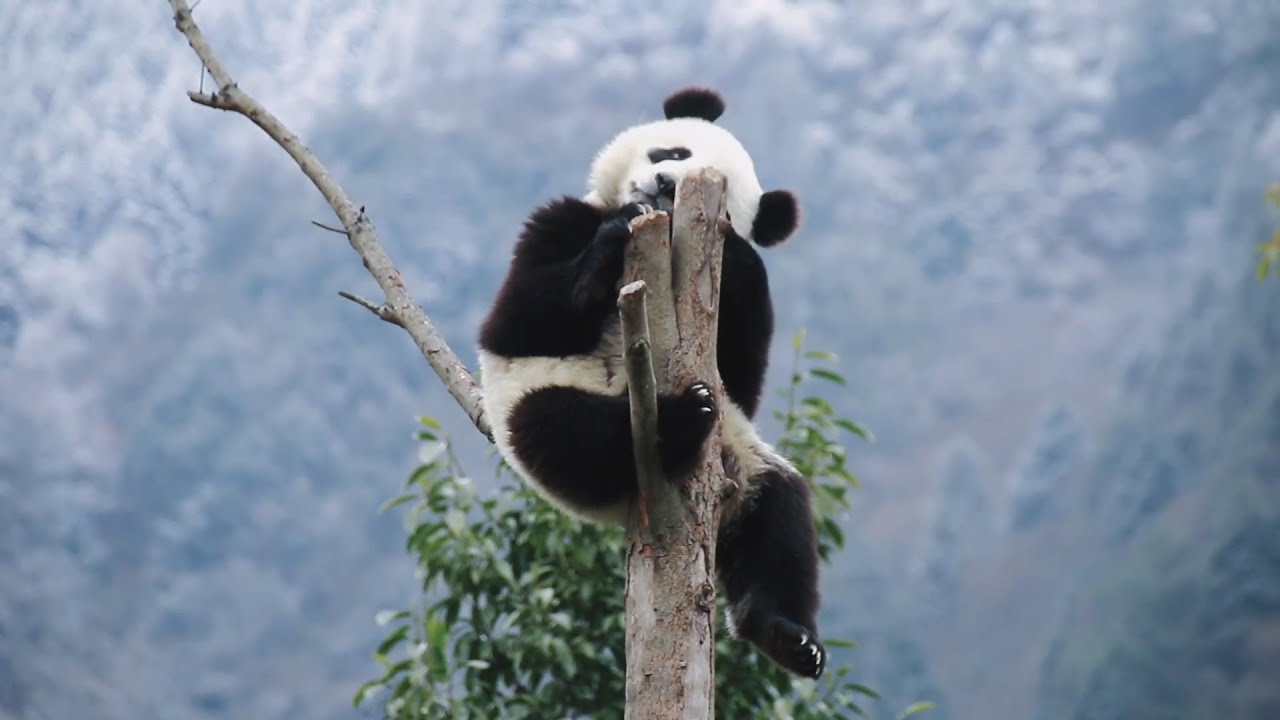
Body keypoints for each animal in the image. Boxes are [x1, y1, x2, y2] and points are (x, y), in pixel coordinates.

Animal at [476, 86, 825, 680]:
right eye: (675, 152)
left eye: (724, 202)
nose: (663, 184)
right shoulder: (559, 219)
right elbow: (516, 321)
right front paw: (615, 234)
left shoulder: (741, 298)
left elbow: (743, 378)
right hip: (535, 406)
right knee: (565, 431)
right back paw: (679, 419)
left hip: (747, 456)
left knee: (780, 520)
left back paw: (789, 637)